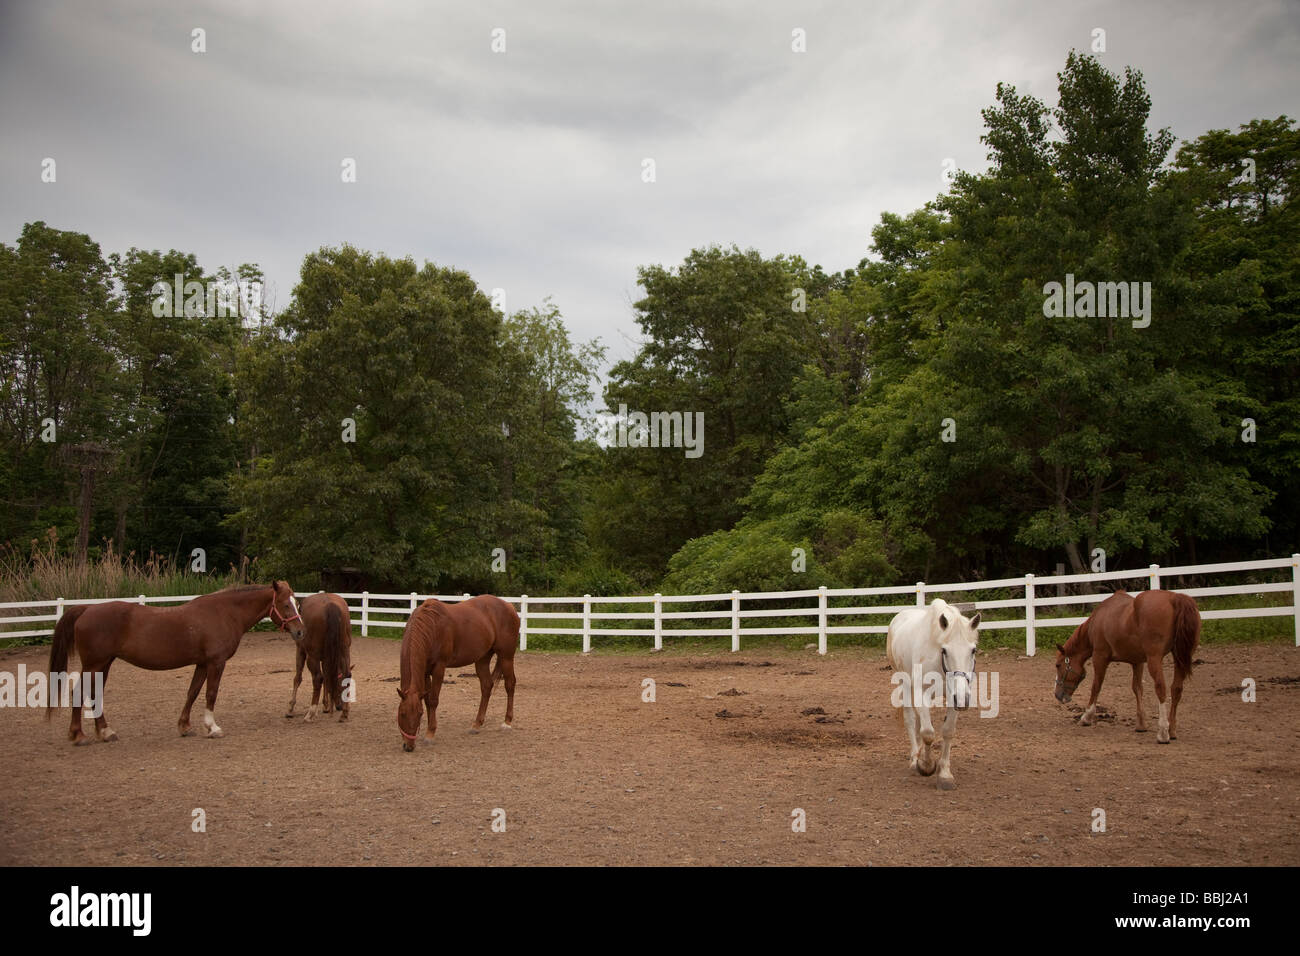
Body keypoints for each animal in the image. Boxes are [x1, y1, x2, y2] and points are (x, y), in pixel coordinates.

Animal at [47, 581, 304, 744]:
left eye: (297, 603)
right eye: (285, 604)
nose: (301, 631)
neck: (224, 613)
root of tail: (86, 609)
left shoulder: (202, 664)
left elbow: (193, 692)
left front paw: (185, 726)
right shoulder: (216, 662)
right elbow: (211, 693)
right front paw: (213, 728)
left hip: (104, 664)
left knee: (94, 694)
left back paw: (106, 732)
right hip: (94, 665)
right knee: (79, 693)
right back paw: (78, 735)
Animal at [285, 592, 354, 722]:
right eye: (338, 684)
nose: (339, 706)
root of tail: (330, 605)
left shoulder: (301, 650)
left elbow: (298, 677)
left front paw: (290, 708)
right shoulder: (327, 658)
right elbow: (327, 678)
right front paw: (326, 705)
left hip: (312, 656)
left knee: (317, 678)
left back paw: (310, 713)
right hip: (344, 650)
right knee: (347, 674)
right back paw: (344, 714)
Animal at [396, 594, 518, 752]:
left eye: (419, 713)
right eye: (402, 713)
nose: (409, 746)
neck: (432, 626)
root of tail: (509, 606)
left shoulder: (439, 668)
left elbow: (434, 700)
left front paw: (430, 734)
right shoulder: (425, 671)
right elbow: (428, 700)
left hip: (506, 656)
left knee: (510, 684)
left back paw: (507, 722)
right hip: (483, 658)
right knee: (486, 686)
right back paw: (477, 724)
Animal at [885, 598, 982, 790]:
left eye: (973, 650)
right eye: (944, 650)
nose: (963, 699)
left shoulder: (953, 697)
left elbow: (947, 731)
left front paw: (944, 774)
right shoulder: (921, 691)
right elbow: (928, 733)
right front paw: (926, 766)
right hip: (904, 682)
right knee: (911, 719)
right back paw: (914, 759)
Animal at [1053, 589, 1200, 743]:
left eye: (1058, 665)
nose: (1057, 694)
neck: (1098, 619)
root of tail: (1175, 598)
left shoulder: (1100, 657)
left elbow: (1096, 686)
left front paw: (1086, 717)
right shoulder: (1137, 662)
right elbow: (1137, 689)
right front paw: (1141, 724)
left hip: (1155, 659)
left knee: (1161, 688)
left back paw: (1163, 732)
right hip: (1179, 658)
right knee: (1176, 689)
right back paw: (1172, 730)